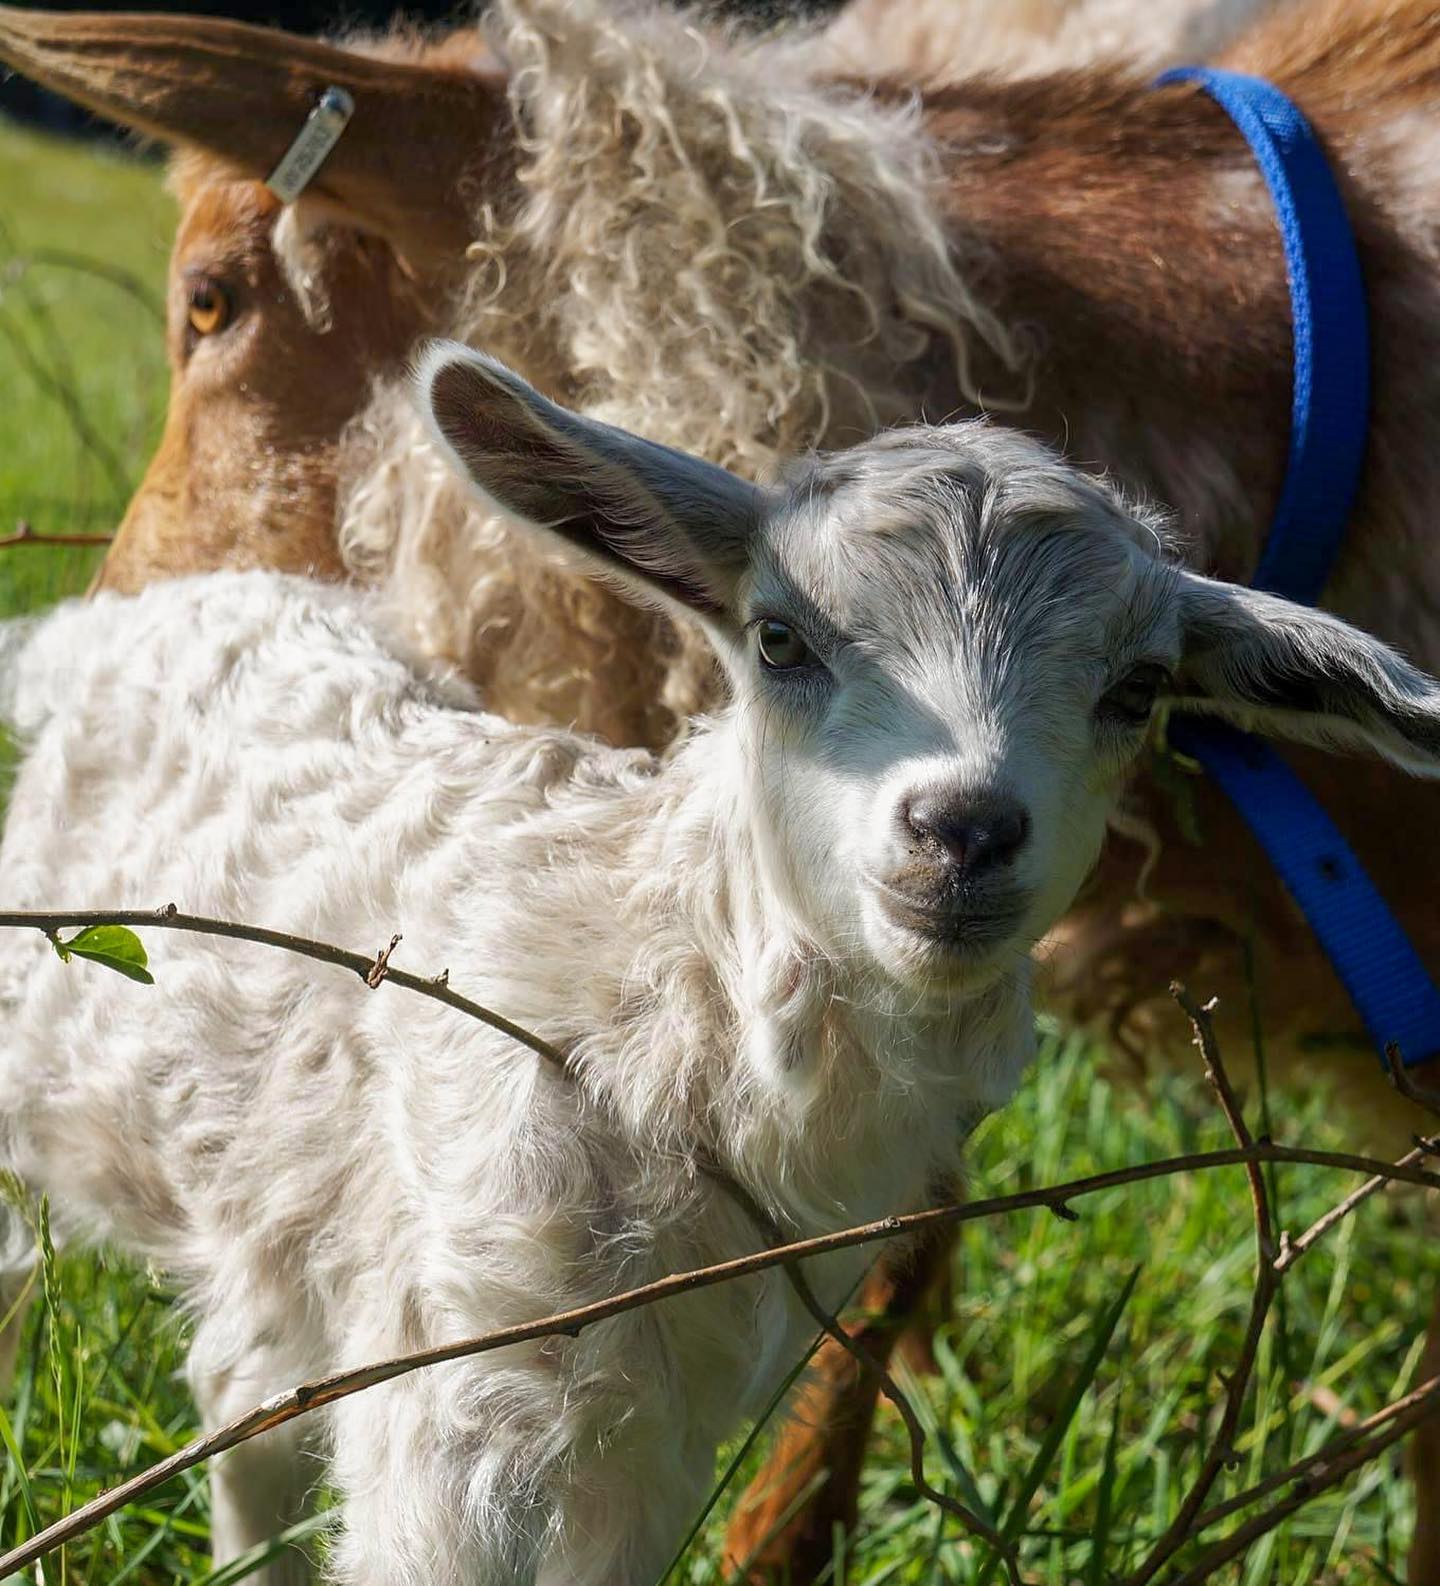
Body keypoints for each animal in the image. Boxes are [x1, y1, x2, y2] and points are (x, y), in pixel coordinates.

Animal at [6, 349, 1438, 1584]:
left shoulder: (659, 1434)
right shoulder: (457, 1385)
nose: (963, 828)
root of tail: (137, 611)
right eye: (780, 638)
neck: (655, 1003)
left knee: (241, 1391)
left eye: (1139, 688)